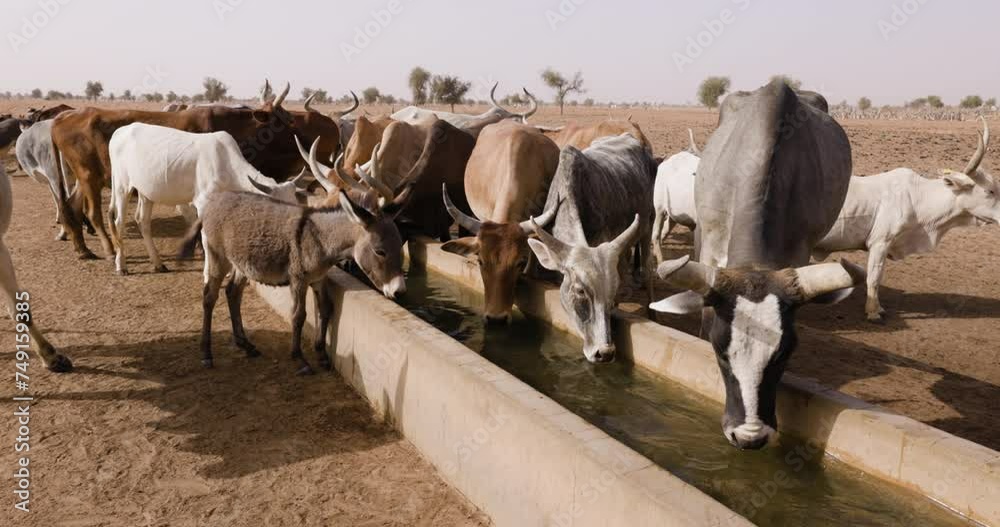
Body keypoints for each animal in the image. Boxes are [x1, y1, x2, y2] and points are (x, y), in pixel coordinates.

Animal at [51, 82, 340, 260]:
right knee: (92, 213)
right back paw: (110, 250)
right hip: (90, 178)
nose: (315, 143)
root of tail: (64, 117)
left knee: (71, 206)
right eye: (287, 120)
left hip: (84, 179)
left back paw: (82, 248)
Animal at [108, 123, 312, 275]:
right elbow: (207, 240)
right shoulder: (203, 204)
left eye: (295, 203)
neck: (226, 164)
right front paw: (209, 272)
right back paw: (121, 266)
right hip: (122, 186)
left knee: (143, 221)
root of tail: (120, 131)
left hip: (146, 192)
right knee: (118, 223)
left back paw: (158, 263)